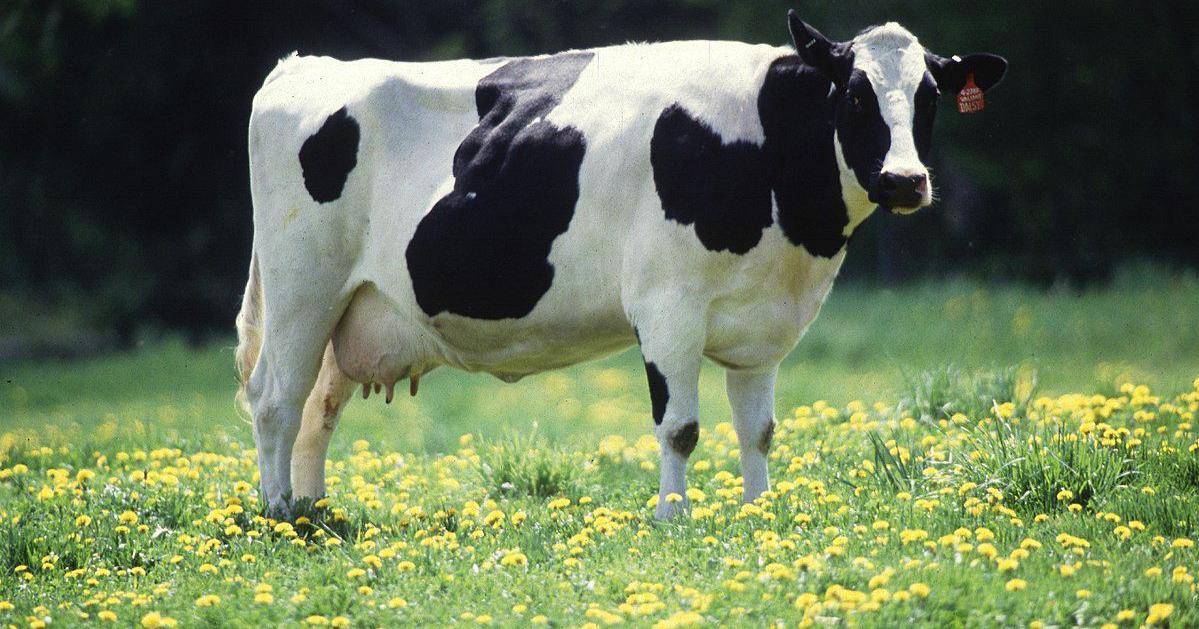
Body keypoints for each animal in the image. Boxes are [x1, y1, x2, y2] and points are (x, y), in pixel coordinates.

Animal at [235, 11, 1006, 519]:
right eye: (854, 94)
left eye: (929, 97)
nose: (905, 180)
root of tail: (303, 65)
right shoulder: (668, 306)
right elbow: (680, 427)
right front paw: (673, 518)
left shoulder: (763, 324)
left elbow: (757, 429)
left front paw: (759, 514)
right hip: (302, 287)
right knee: (275, 399)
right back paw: (280, 516)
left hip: (352, 307)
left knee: (317, 408)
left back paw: (314, 511)